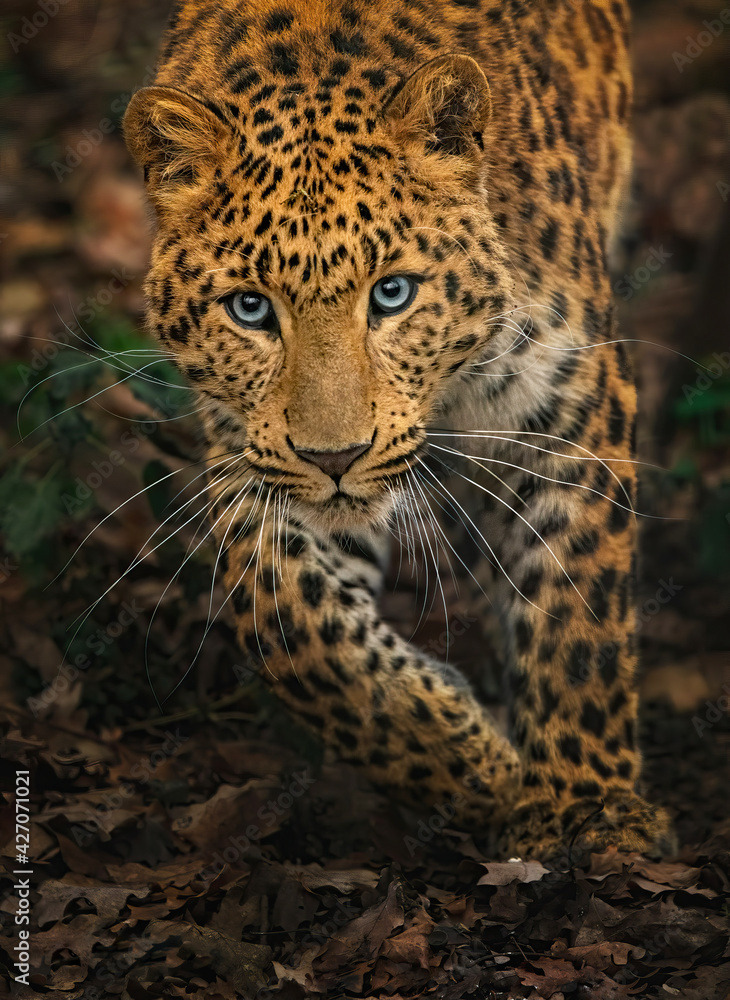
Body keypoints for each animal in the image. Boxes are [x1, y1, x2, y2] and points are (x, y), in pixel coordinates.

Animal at [123, 0, 674, 861]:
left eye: (392, 294)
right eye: (250, 308)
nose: (337, 457)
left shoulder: (571, 405)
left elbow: (578, 614)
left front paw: (587, 806)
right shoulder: (252, 455)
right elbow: (290, 626)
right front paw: (476, 769)